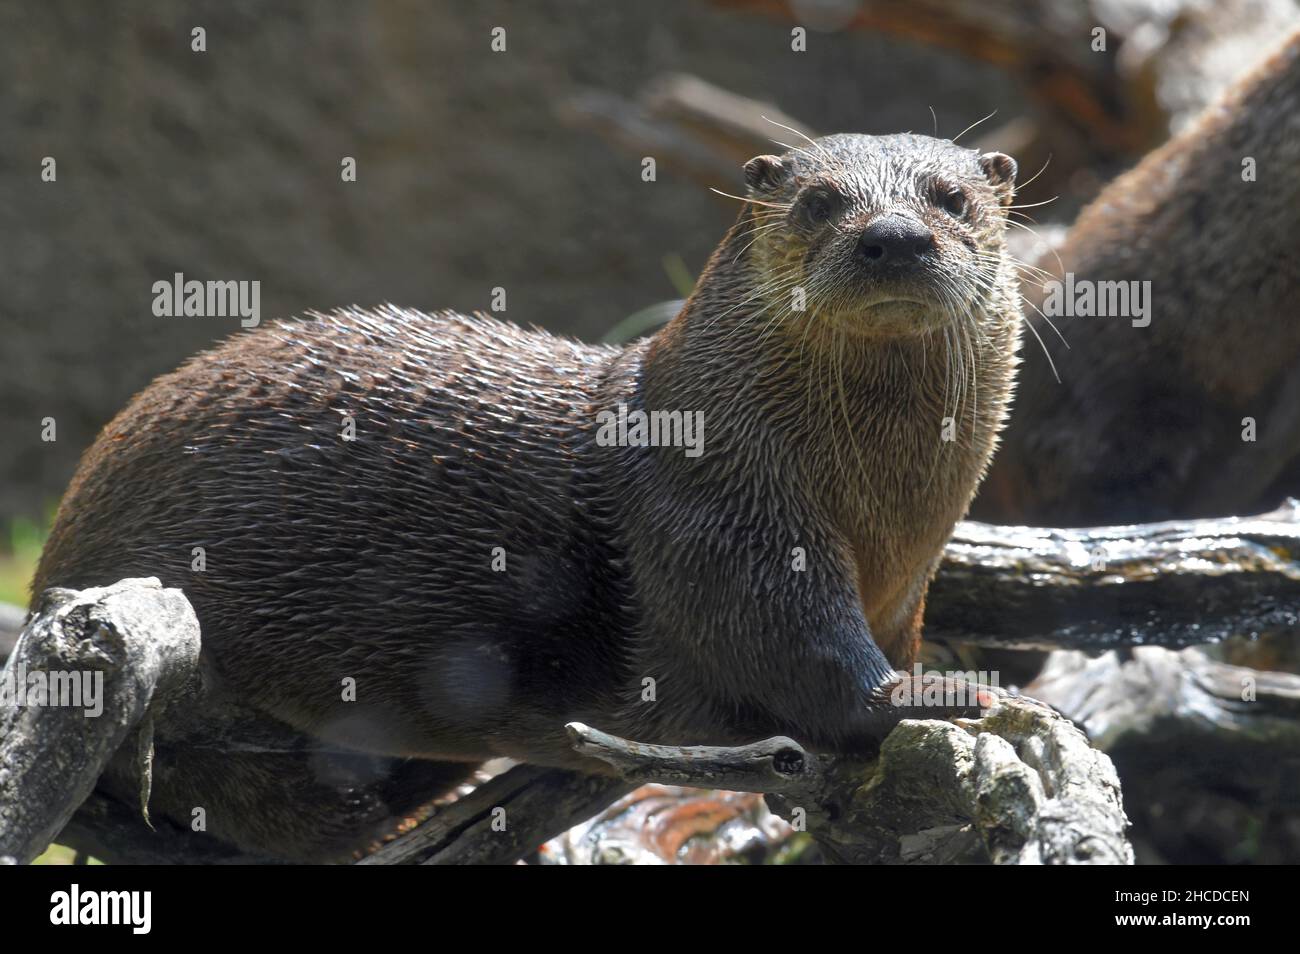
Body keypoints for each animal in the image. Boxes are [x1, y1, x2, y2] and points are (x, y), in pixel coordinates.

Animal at [34, 132, 1021, 861]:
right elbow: (801, 657)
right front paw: (937, 696)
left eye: (951, 197)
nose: (894, 236)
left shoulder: (902, 586)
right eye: (818, 201)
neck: (884, 518)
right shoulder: (725, 517)